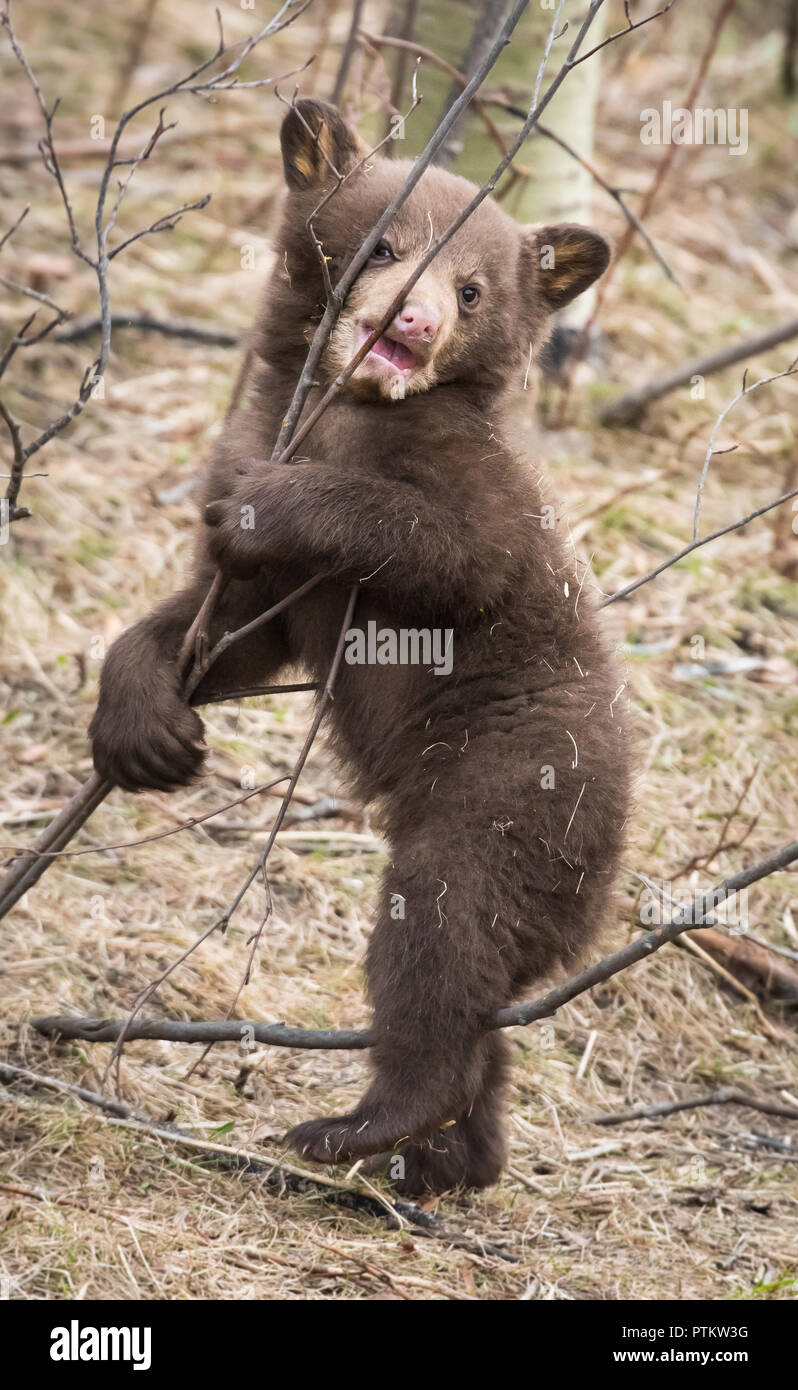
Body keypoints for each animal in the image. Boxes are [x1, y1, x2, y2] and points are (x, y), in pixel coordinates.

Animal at [89, 99, 630, 1196]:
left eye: (471, 289)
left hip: (512, 793)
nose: (412, 322)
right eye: (383, 245)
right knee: (484, 1019)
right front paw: (146, 732)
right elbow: (219, 626)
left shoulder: (475, 488)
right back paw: (451, 1158)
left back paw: (359, 1124)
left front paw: (275, 503)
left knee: (440, 935)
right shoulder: (251, 453)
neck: (342, 405)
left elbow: (451, 547)